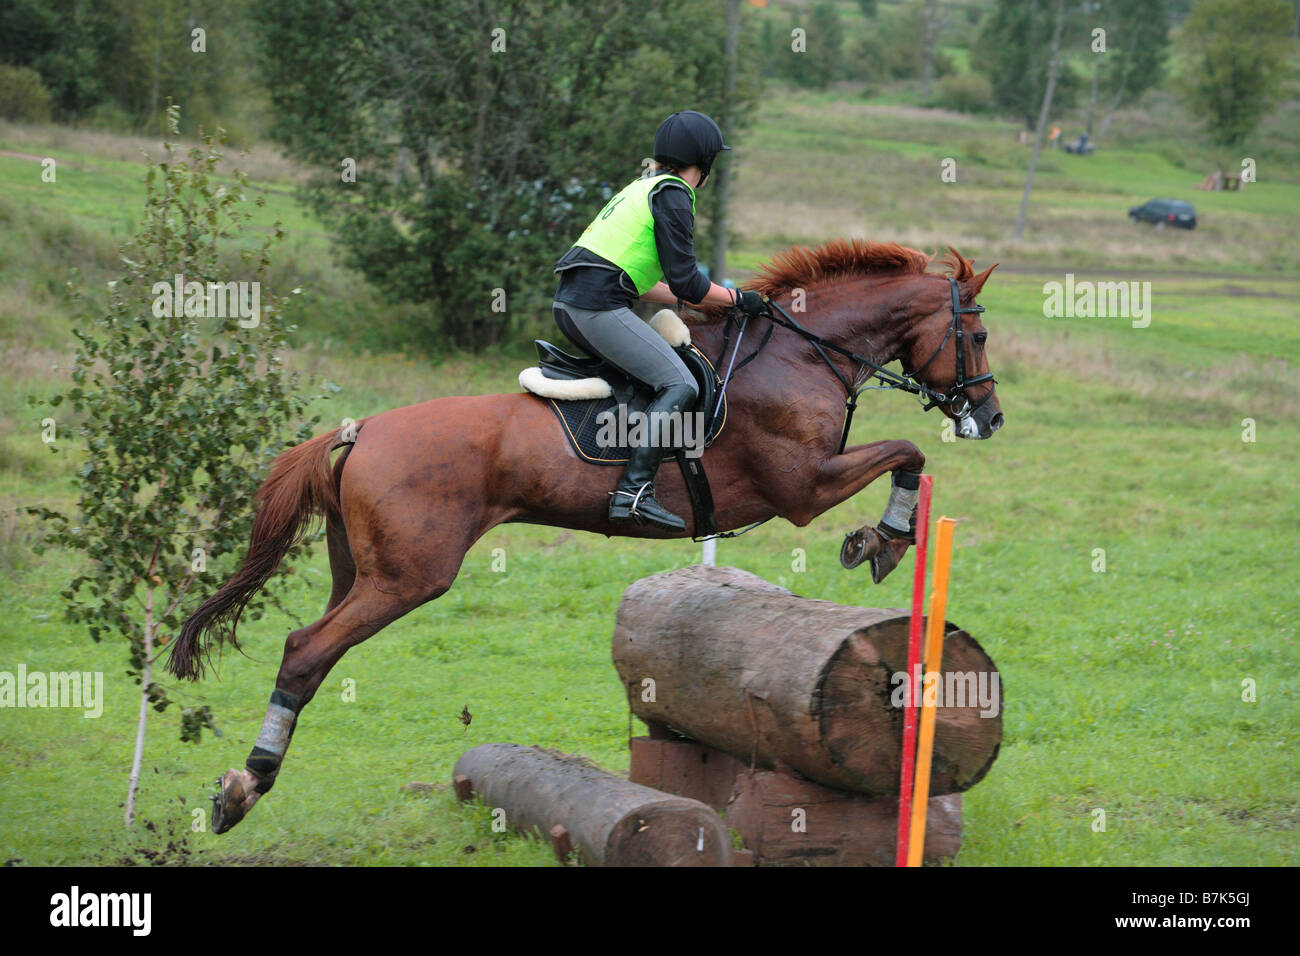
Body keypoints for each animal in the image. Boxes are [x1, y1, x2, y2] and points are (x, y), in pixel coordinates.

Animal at [167, 238, 1003, 833]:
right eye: (981, 336)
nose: (989, 418)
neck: (804, 353)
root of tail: (360, 428)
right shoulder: (802, 489)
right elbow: (908, 452)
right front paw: (882, 540)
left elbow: (906, 453)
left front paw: (882, 539)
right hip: (409, 577)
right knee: (306, 651)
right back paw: (246, 786)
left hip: (361, 571)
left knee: (311, 644)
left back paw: (243, 781)